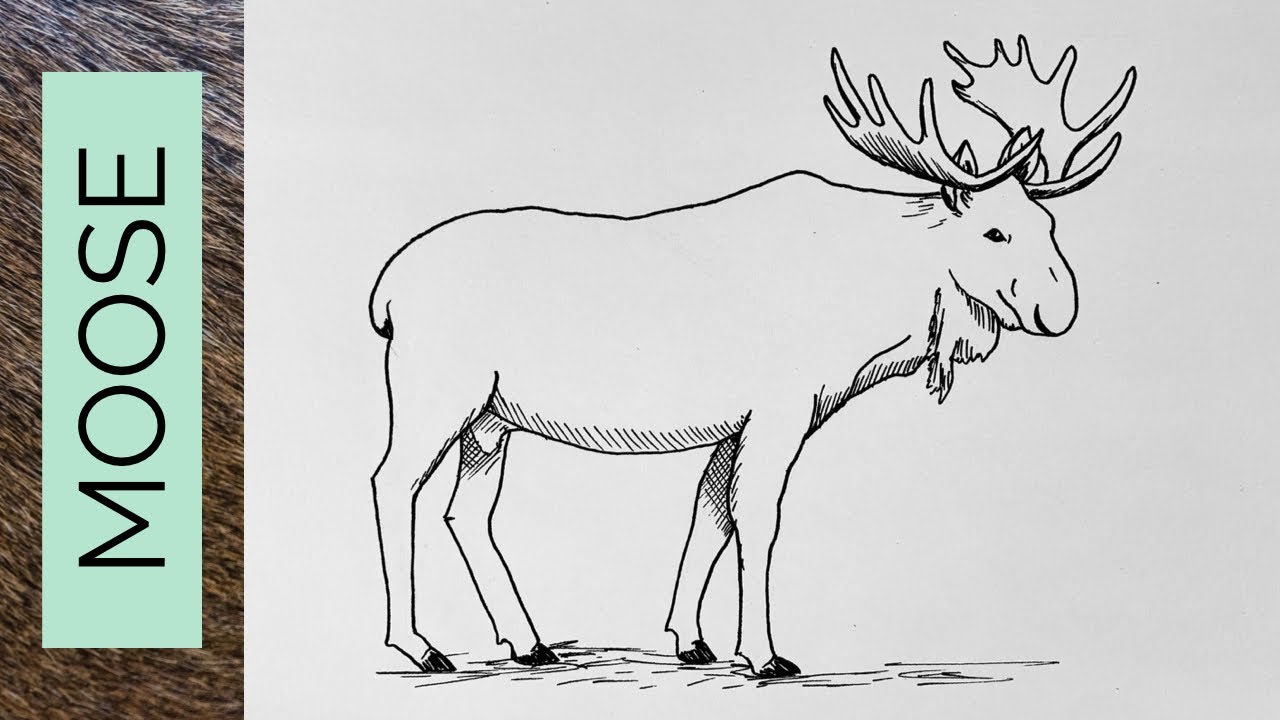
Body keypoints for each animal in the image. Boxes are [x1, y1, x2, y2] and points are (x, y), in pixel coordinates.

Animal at [366, 36, 1135, 678]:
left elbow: (710, 518)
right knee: (392, 482)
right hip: (440, 390)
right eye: (994, 232)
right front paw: (764, 653)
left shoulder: (734, 426)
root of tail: (385, 292)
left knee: (466, 512)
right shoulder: (781, 410)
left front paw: (692, 640)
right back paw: (419, 645)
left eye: (1048, 221)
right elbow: (758, 522)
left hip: (492, 418)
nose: (1059, 308)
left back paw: (529, 643)